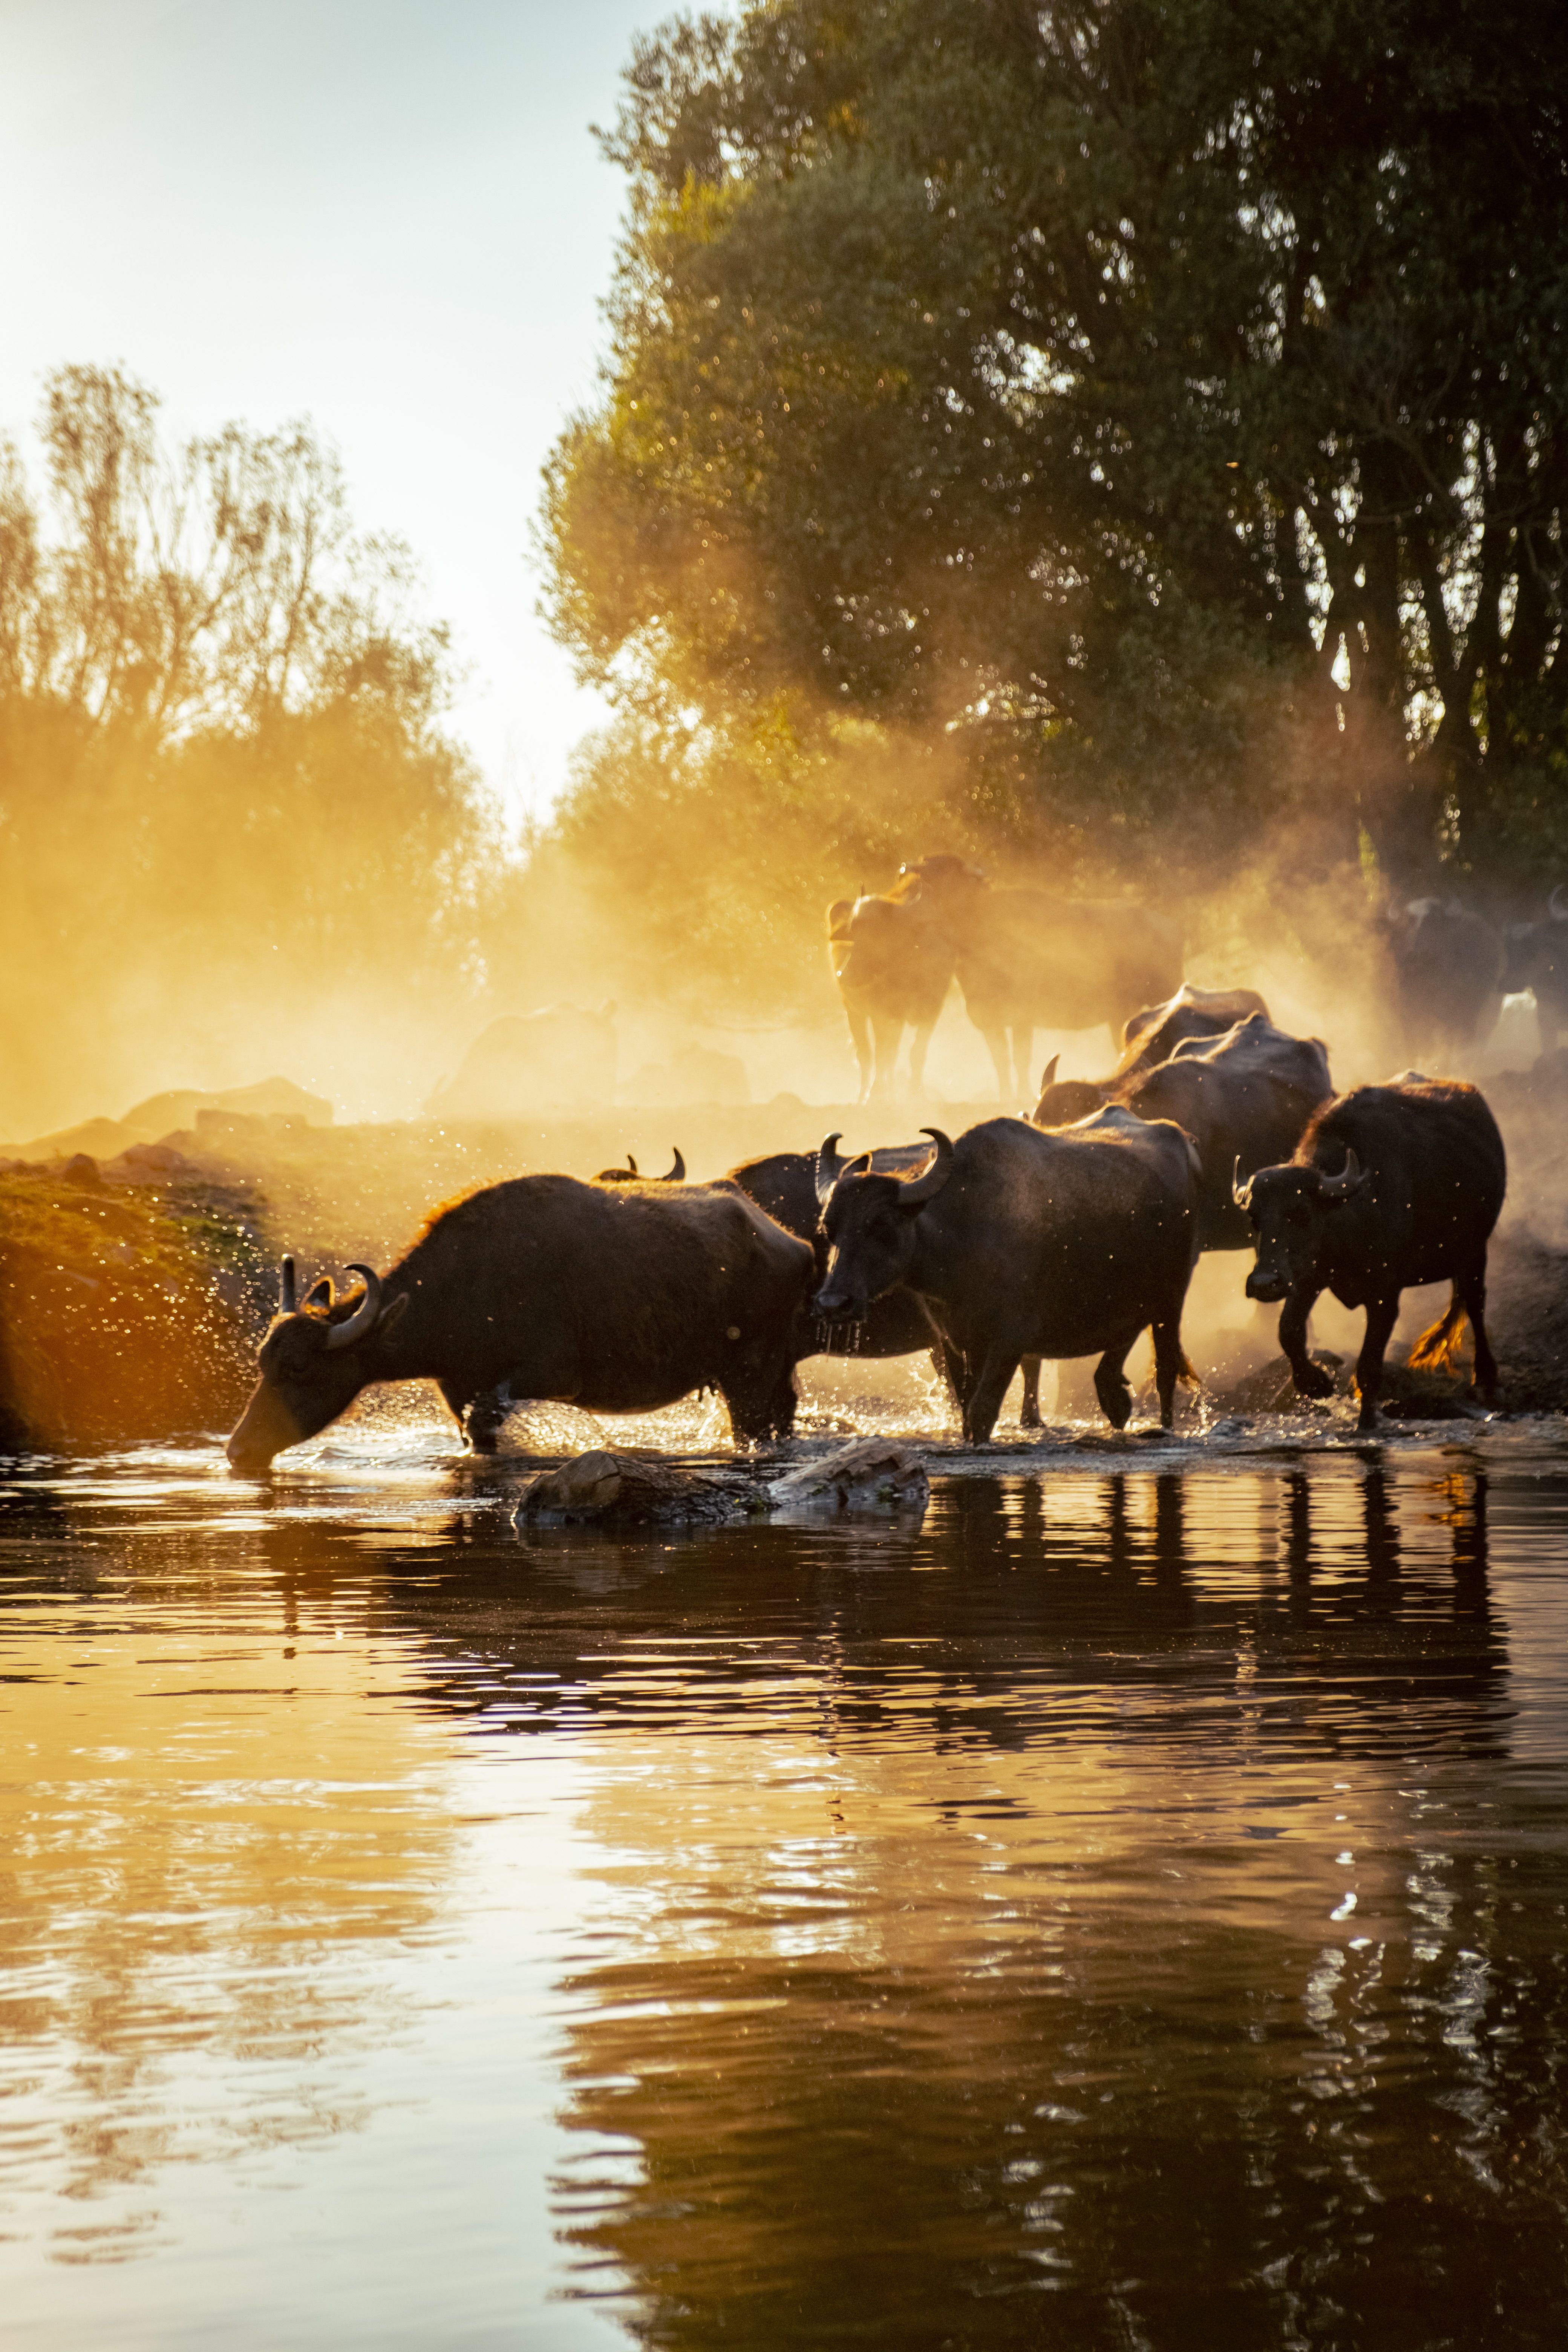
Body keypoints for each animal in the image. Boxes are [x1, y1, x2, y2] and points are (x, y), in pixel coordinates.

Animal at [226, 1174, 815, 1472]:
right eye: (263, 1363)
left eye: (300, 1368)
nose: (237, 1450)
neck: (463, 1287)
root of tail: (791, 1242)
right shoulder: (456, 1391)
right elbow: (475, 1431)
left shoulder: (550, 1377)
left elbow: (491, 1410)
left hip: (750, 1374)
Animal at [814, 1113, 1201, 1442]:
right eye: (829, 1227)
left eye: (882, 1226)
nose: (833, 1303)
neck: (963, 1234)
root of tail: (1182, 1141)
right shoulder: (956, 1341)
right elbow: (966, 1409)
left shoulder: (1011, 1339)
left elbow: (983, 1411)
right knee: (1117, 1356)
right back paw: (1116, 1401)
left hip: (1173, 1298)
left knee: (1165, 1370)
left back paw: (1164, 1426)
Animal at [1235, 1078, 1506, 1428]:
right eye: (1255, 1218)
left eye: (1302, 1213)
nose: (1264, 1284)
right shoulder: (1306, 1279)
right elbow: (1289, 1332)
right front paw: (1316, 1384)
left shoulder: (1385, 1297)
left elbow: (1368, 1365)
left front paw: (1367, 1422)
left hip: (1475, 1249)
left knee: (1476, 1301)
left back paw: (1486, 1380)